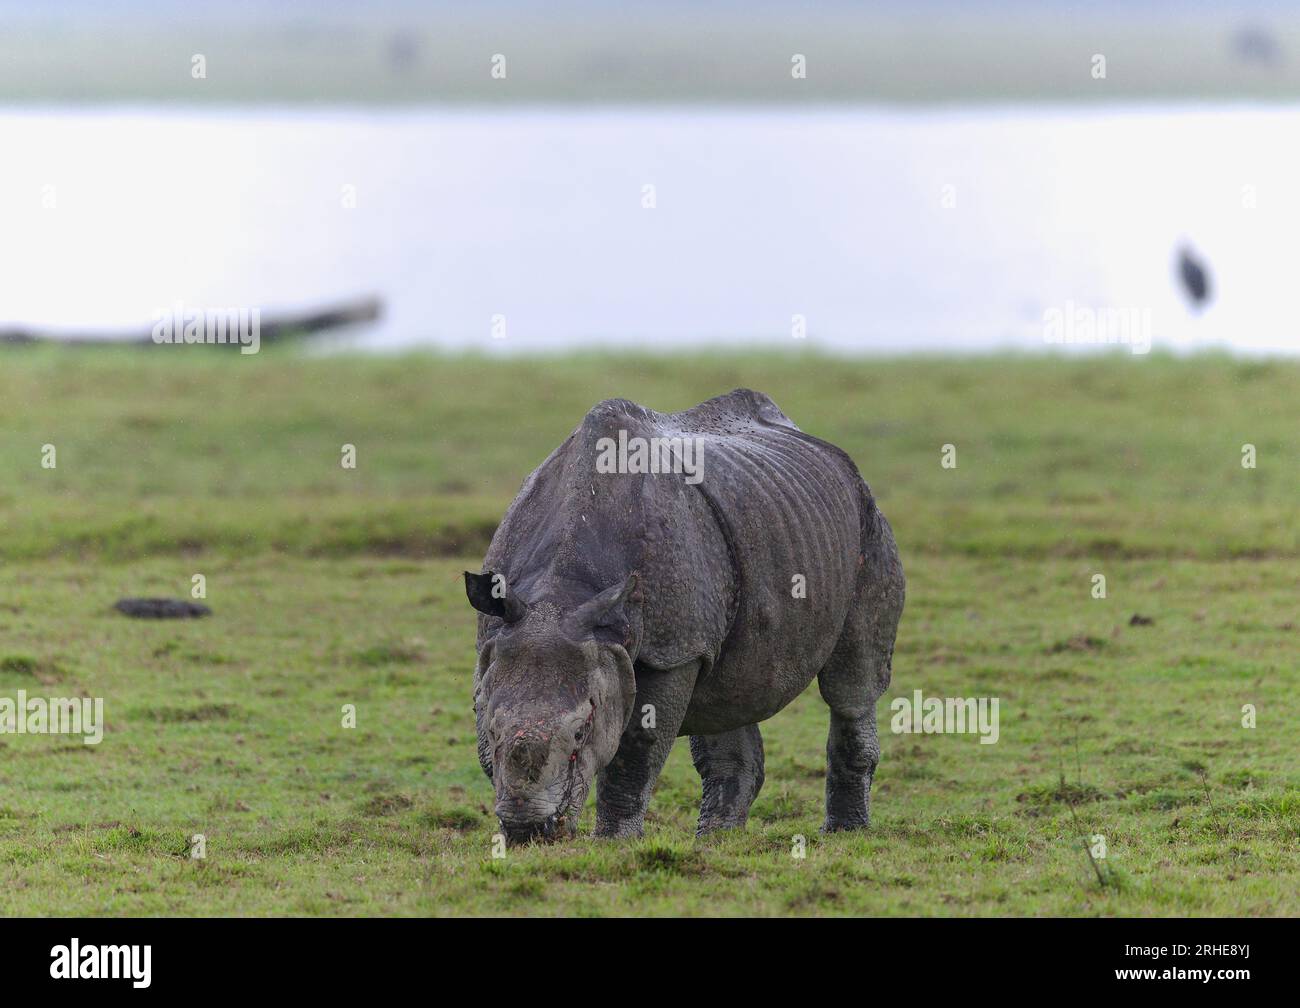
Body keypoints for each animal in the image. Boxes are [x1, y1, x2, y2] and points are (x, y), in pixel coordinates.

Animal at [465, 389, 904, 844]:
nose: (528, 829)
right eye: (491, 729)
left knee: (850, 687)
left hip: (867, 522)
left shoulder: (673, 650)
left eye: (582, 732)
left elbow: (637, 748)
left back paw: (845, 834)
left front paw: (615, 841)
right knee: (728, 693)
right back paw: (716, 839)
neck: (563, 596)